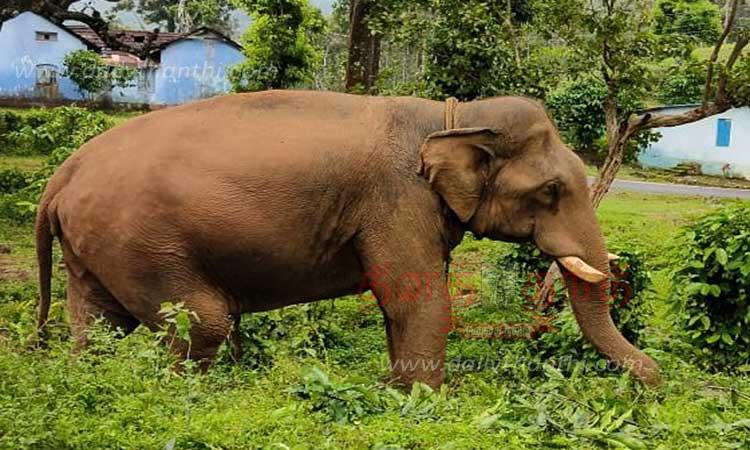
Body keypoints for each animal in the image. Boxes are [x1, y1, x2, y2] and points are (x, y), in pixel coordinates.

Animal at [35, 90, 660, 387]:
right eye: (552, 189)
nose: (656, 381)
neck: (453, 114)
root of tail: (61, 176)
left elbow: (402, 307)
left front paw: (395, 390)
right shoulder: (396, 199)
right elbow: (420, 303)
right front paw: (423, 402)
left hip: (97, 246)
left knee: (98, 324)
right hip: (142, 244)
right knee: (203, 322)